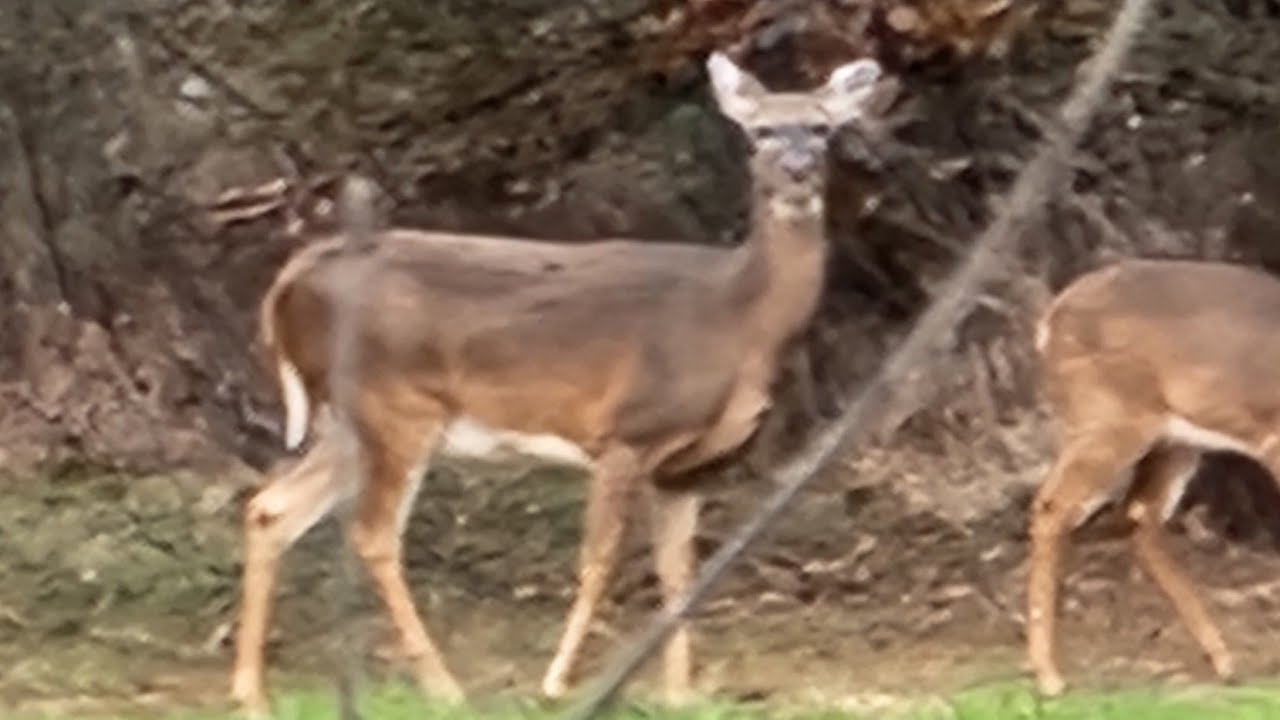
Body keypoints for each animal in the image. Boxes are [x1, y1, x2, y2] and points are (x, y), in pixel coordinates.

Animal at [228, 51, 886, 713]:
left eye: (823, 128)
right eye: (759, 133)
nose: (798, 171)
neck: (738, 320)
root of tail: (290, 280)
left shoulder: (689, 468)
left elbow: (679, 576)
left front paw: (679, 694)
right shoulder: (625, 433)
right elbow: (599, 562)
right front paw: (557, 682)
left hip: (348, 421)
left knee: (271, 508)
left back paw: (251, 694)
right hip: (394, 406)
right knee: (371, 534)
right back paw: (444, 688)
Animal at [1025, 256, 1280, 696]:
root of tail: (1051, 317)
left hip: (1170, 437)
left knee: (1140, 515)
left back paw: (1224, 661)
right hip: (1109, 417)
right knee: (1054, 506)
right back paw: (1049, 676)